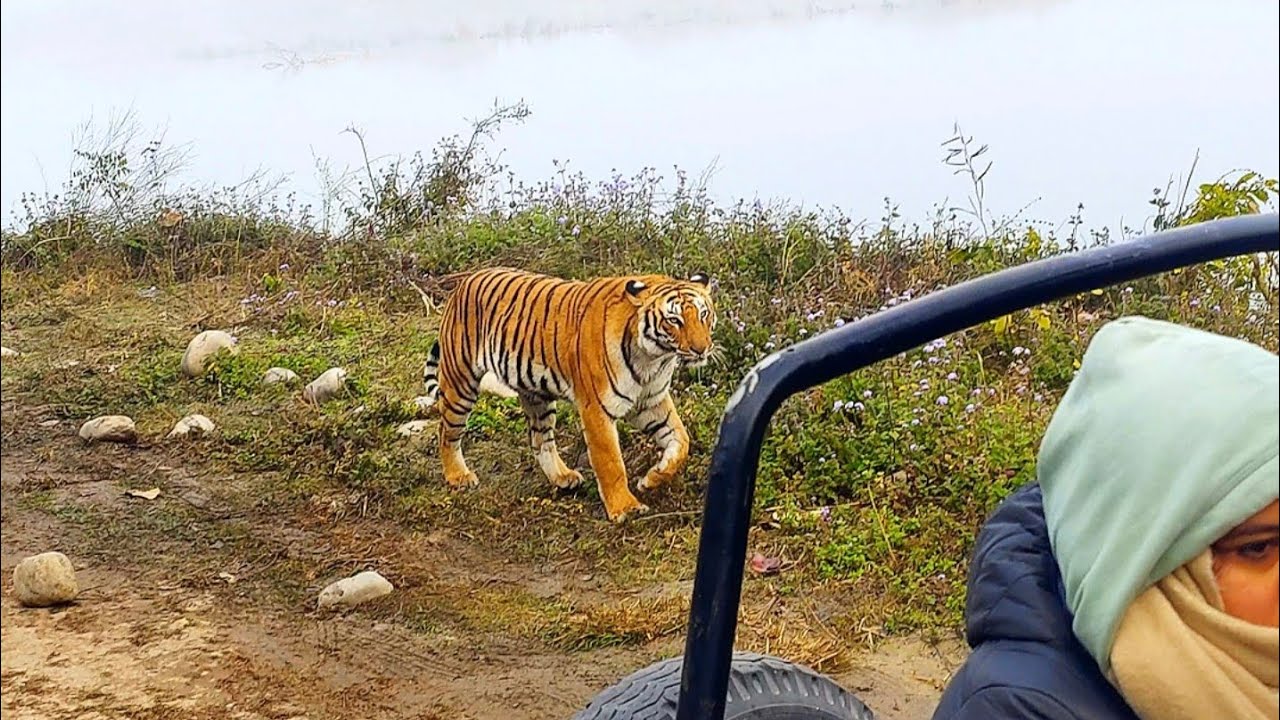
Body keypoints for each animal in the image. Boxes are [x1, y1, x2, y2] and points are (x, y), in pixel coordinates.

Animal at [420, 267, 716, 523]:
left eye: (703, 315)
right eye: (674, 320)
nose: (701, 349)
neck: (653, 359)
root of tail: (465, 281)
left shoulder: (651, 402)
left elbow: (682, 441)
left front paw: (653, 477)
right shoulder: (596, 409)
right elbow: (611, 462)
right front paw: (625, 508)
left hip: (537, 394)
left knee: (540, 440)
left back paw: (562, 478)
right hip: (461, 381)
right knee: (447, 432)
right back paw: (458, 476)